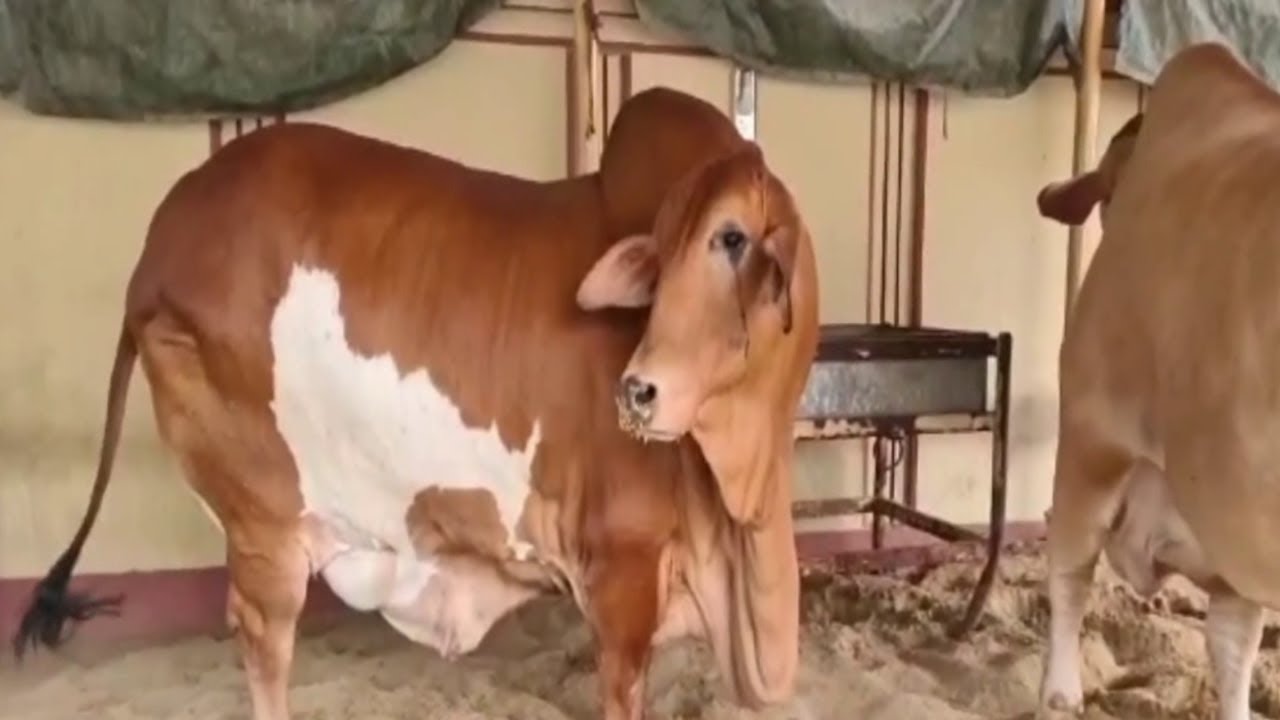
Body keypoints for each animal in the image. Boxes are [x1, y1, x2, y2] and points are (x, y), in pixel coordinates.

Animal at [11, 86, 820, 720]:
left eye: (732, 238)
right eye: (669, 247)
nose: (638, 390)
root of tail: (155, 255)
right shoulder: (620, 571)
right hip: (264, 521)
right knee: (264, 638)